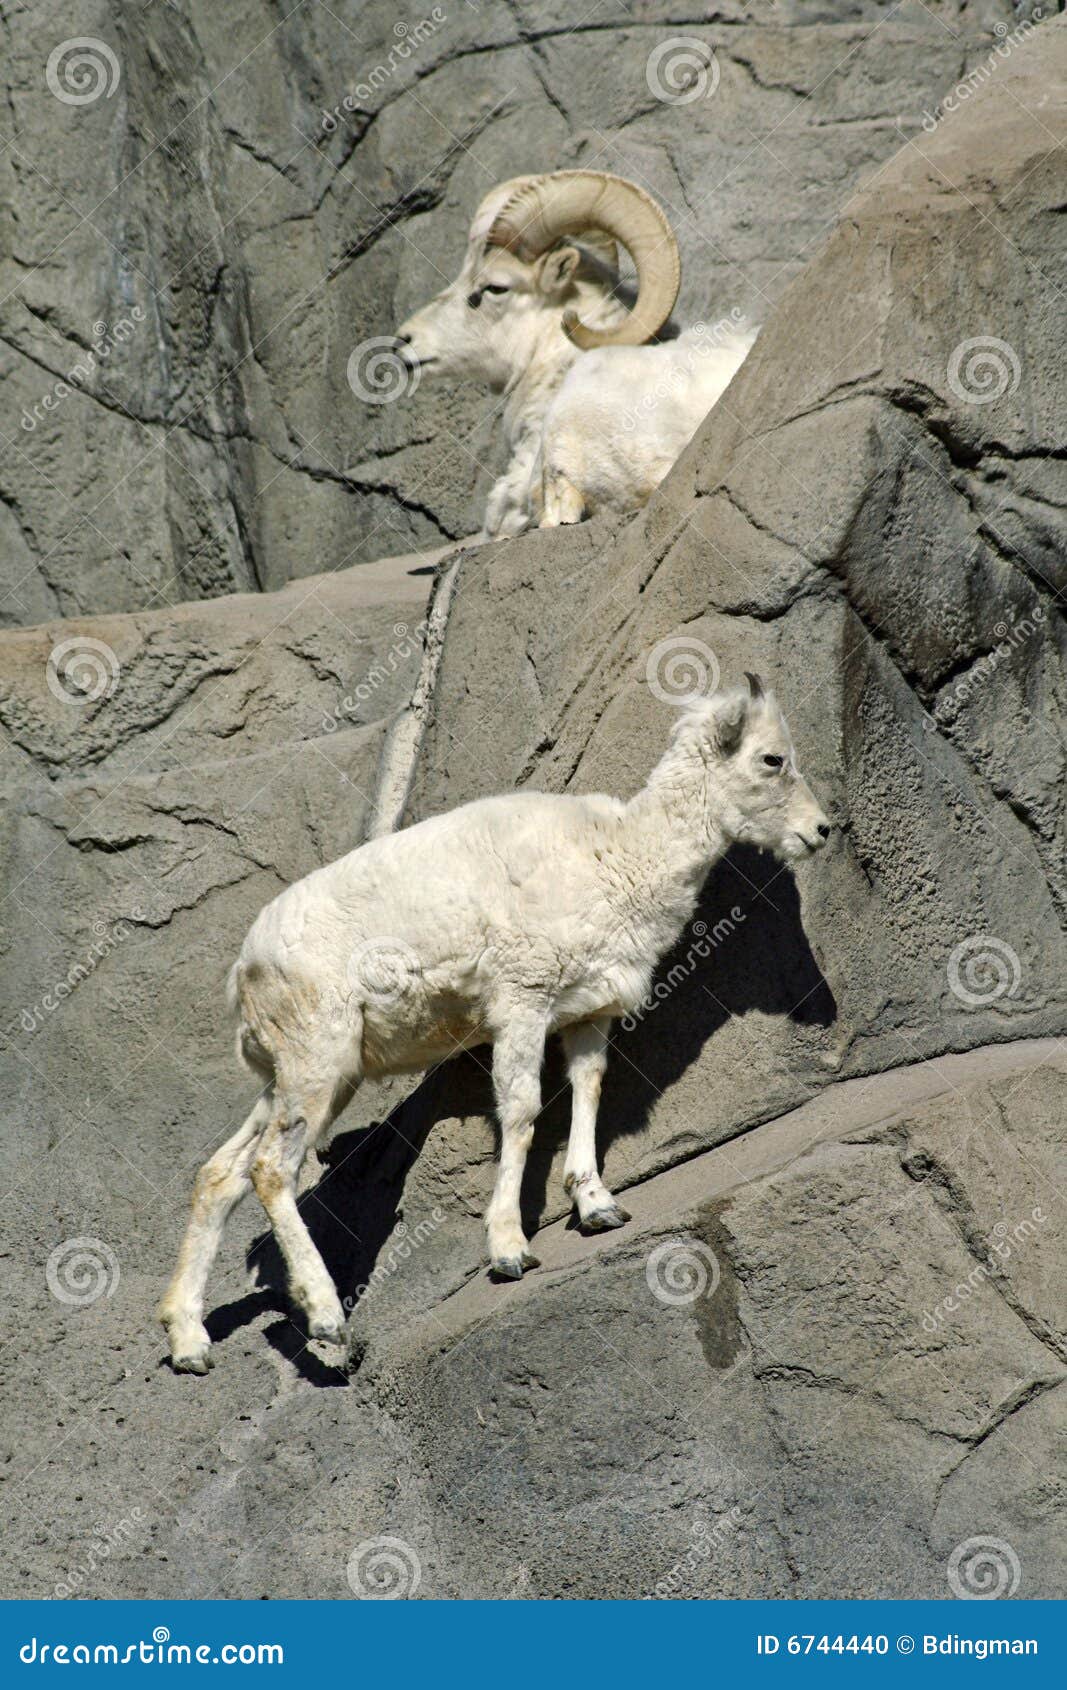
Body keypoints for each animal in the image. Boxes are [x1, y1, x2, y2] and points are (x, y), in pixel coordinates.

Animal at [158, 674, 830, 1373]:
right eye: (772, 759)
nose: (822, 829)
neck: (617, 856)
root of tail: (244, 969)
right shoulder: (522, 1004)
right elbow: (523, 1110)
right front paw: (509, 1249)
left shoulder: (587, 1015)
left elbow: (588, 1091)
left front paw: (598, 1208)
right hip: (318, 1062)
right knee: (270, 1170)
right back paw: (327, 1320)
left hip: (300, 1077)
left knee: (221, 1174)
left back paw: (190, 1344)